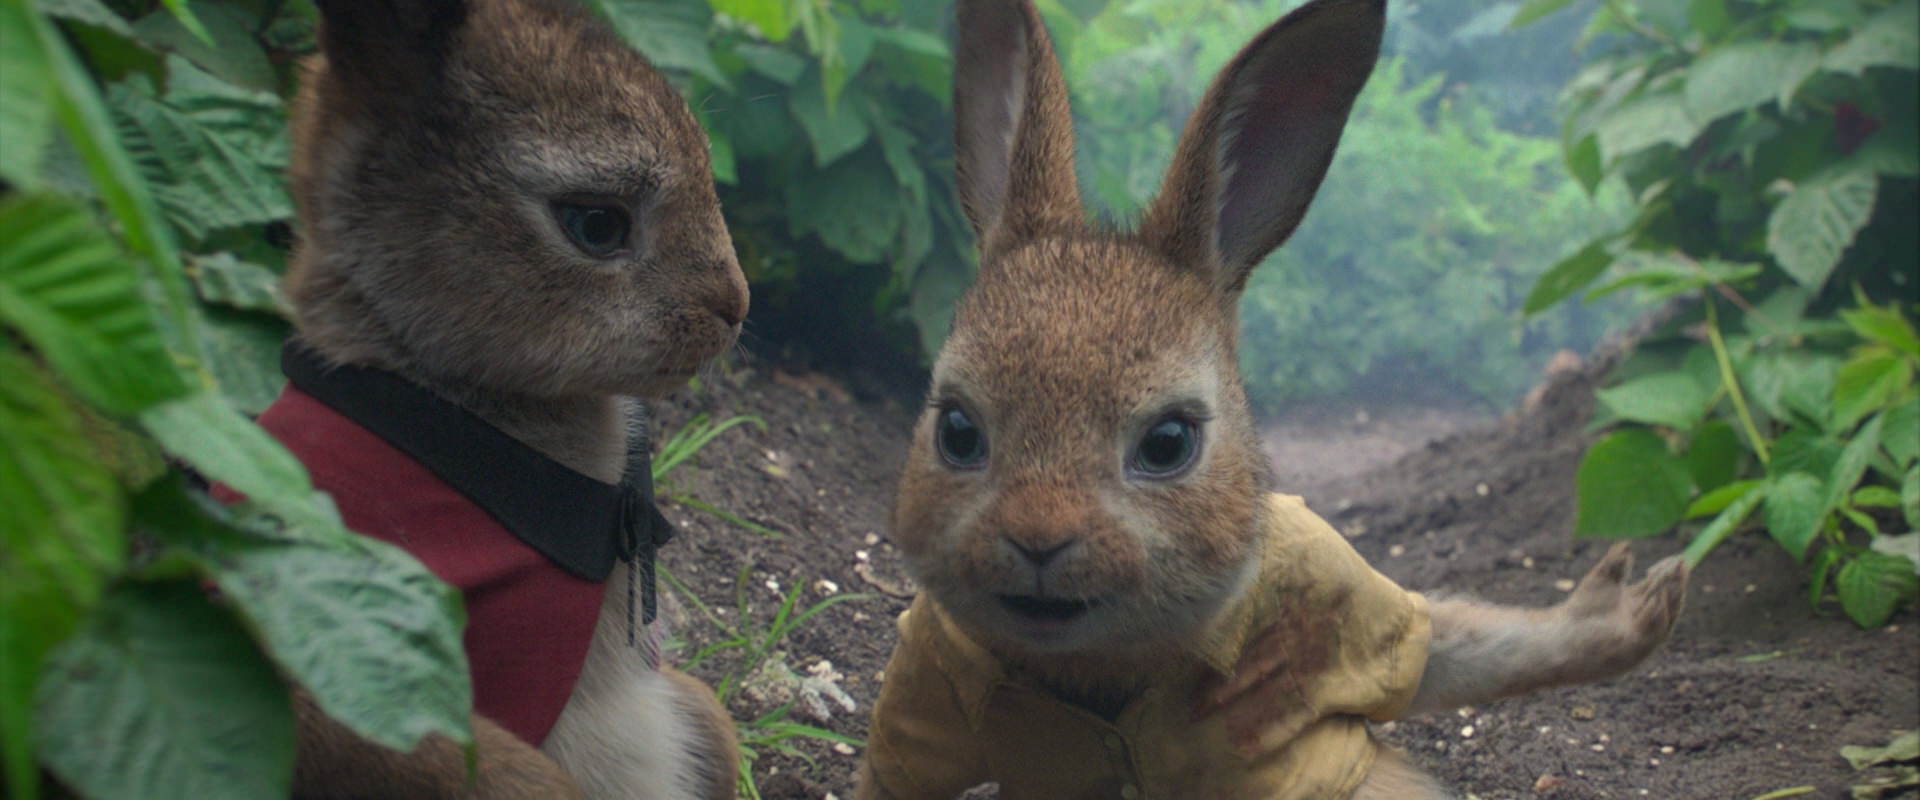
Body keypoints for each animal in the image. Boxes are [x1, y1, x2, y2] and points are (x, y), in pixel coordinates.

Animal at [855, 0, 1689, 797]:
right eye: (957, 430)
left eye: (1169, 443)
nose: (1037, 540)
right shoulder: (930, 669)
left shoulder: (1331, 594)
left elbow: (1446, 652)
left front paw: (1629, 610)